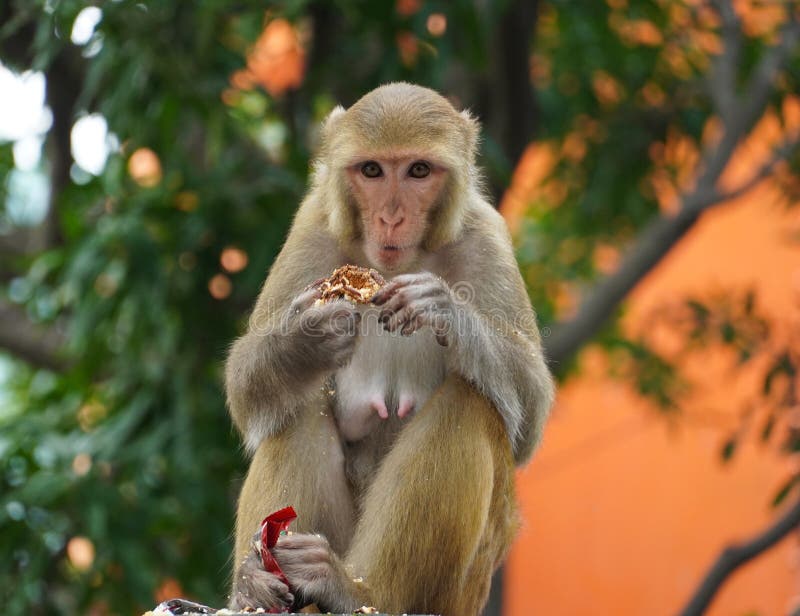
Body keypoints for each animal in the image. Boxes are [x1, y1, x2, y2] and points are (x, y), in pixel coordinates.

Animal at [223, 83, 555, 616]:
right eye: (372, 171)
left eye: (418, 170)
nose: (391, 217)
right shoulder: (313, 224)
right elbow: (245, 388)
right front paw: (305, 341)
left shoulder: (487, 237)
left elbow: (530, 414)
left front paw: (445, 310)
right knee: (296, 404)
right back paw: (258, 583)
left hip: (457, 593)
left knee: (472, 400)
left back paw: (356, 592)